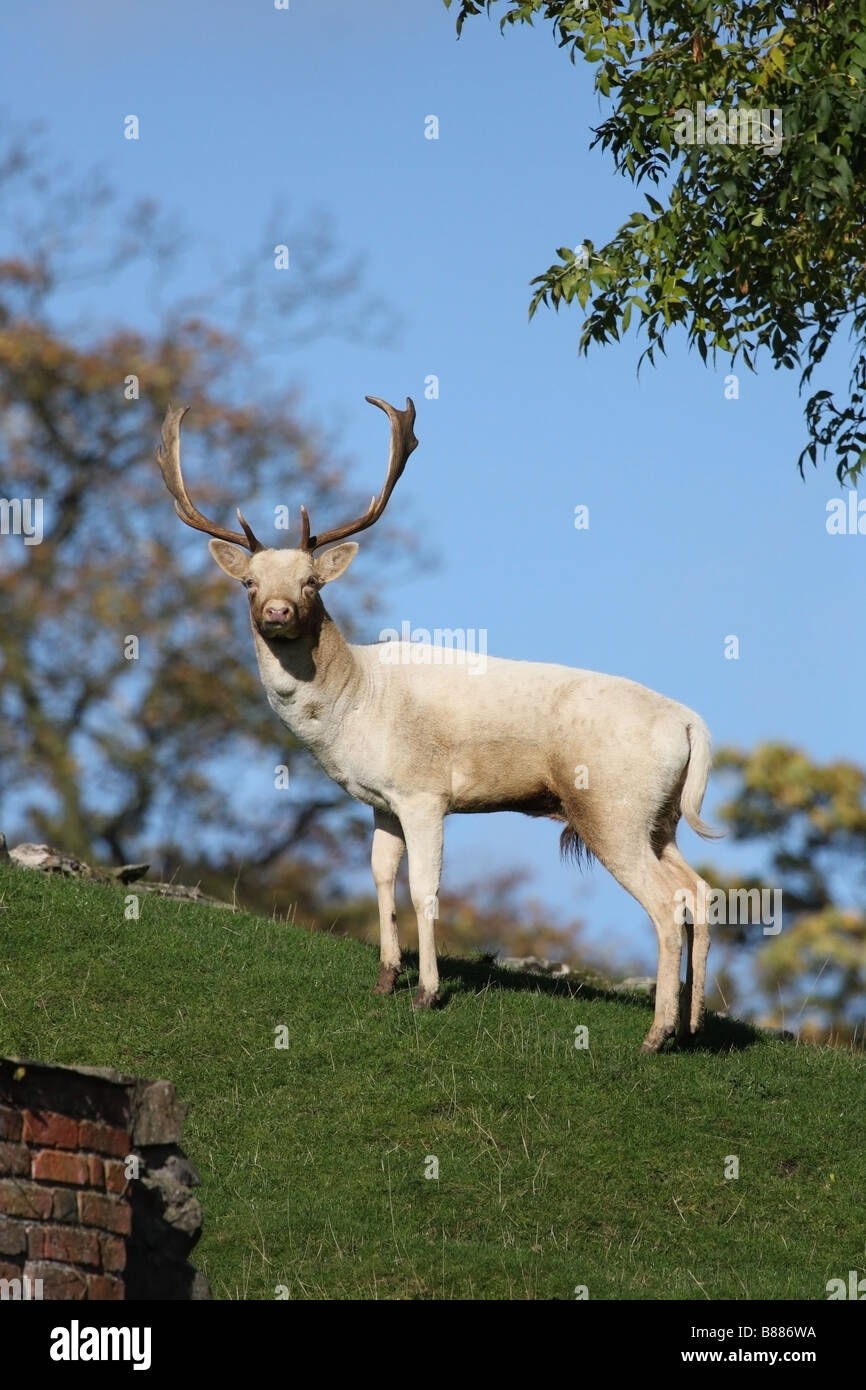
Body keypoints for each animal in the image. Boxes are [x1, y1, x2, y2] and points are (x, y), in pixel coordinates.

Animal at [156, 394, 718, 1053]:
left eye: (311, 582)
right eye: (248, 582)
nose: (277, 611)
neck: (355, 704)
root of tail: (691, 724)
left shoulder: (424, 791)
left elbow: (425, 888)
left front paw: (426, 993)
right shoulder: (380, 800)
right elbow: (380, 877)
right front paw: (383, 979)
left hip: (613, 806)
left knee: (666, 902)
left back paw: (656, 1035)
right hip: (662, 816)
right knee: (700, 889)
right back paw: (695, 1025)